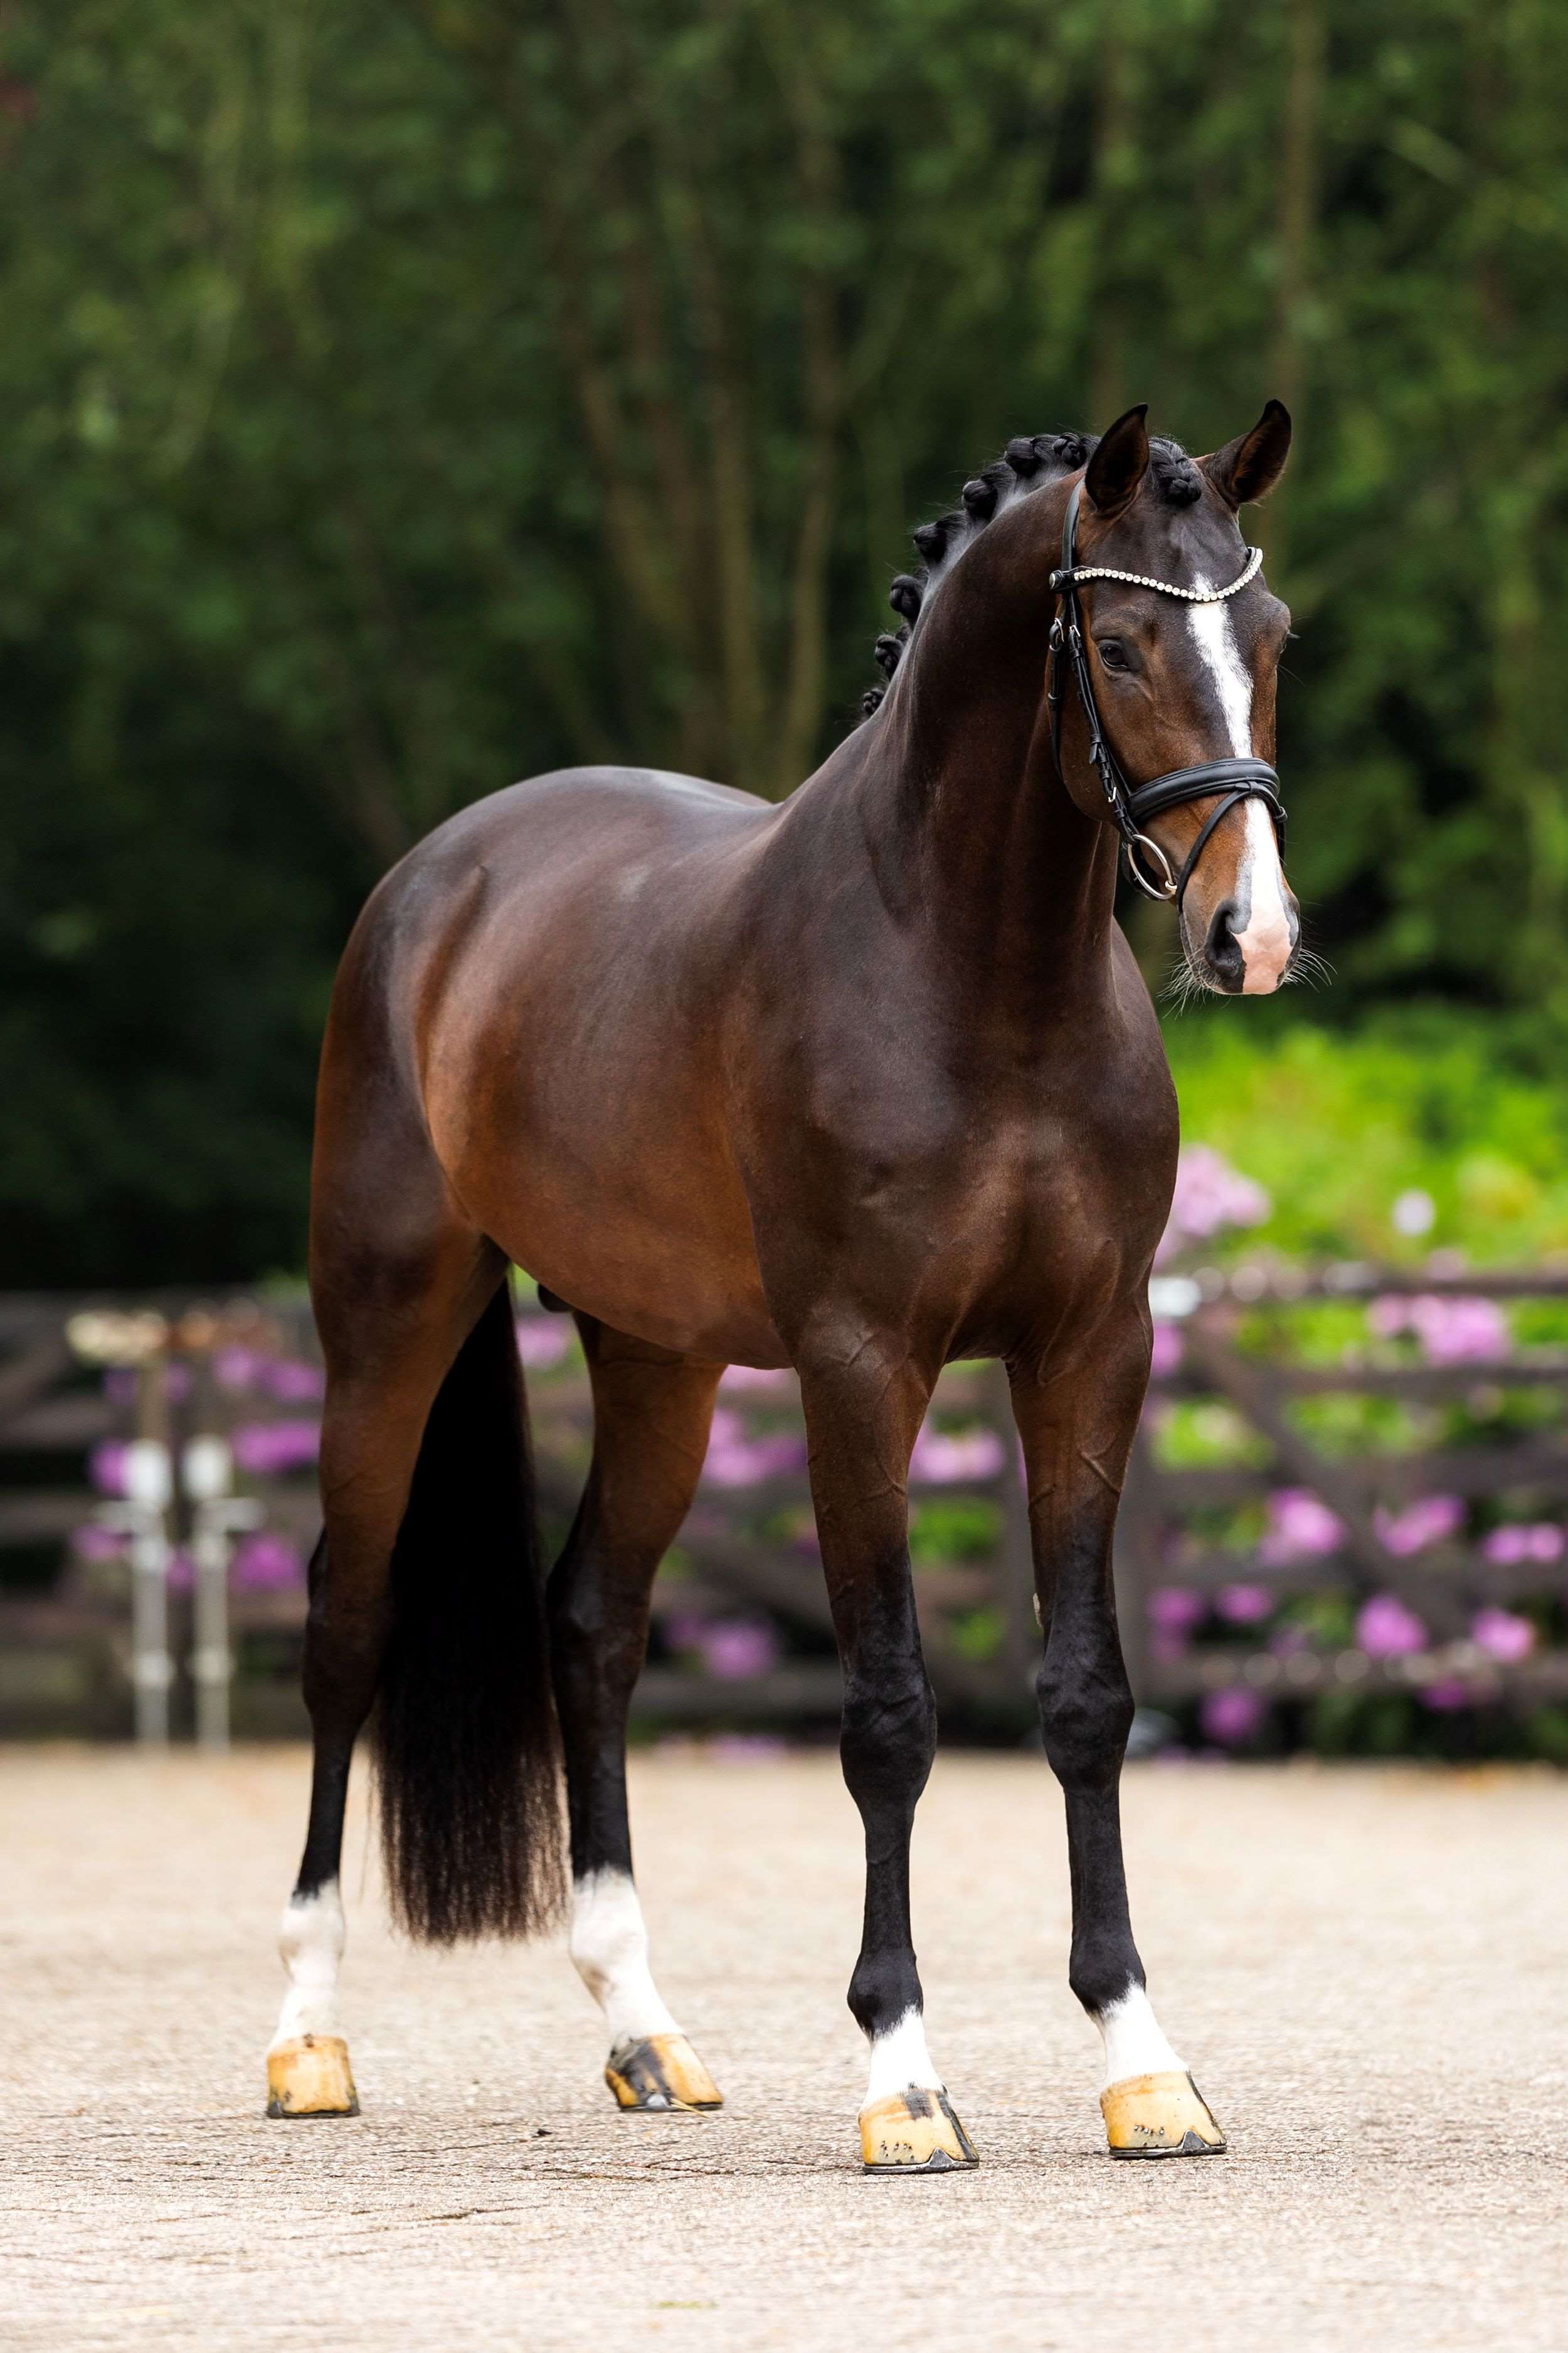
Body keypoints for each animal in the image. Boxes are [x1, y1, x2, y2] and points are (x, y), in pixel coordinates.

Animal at [265, 399, 1298, 2170]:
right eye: (1115, 641)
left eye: (1275, 636)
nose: (1255, 932)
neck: (974, 978)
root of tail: (438, 878)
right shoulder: (857, 1366)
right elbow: (885, 1712)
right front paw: (902, 2074)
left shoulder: (1090, 1353)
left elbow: (1085, 1696)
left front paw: (1142, 2060)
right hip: (388, 1316)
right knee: (348, 1626)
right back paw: (308, 2035)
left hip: (658, 1363)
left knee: (592, 1623)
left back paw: (646, 2030)